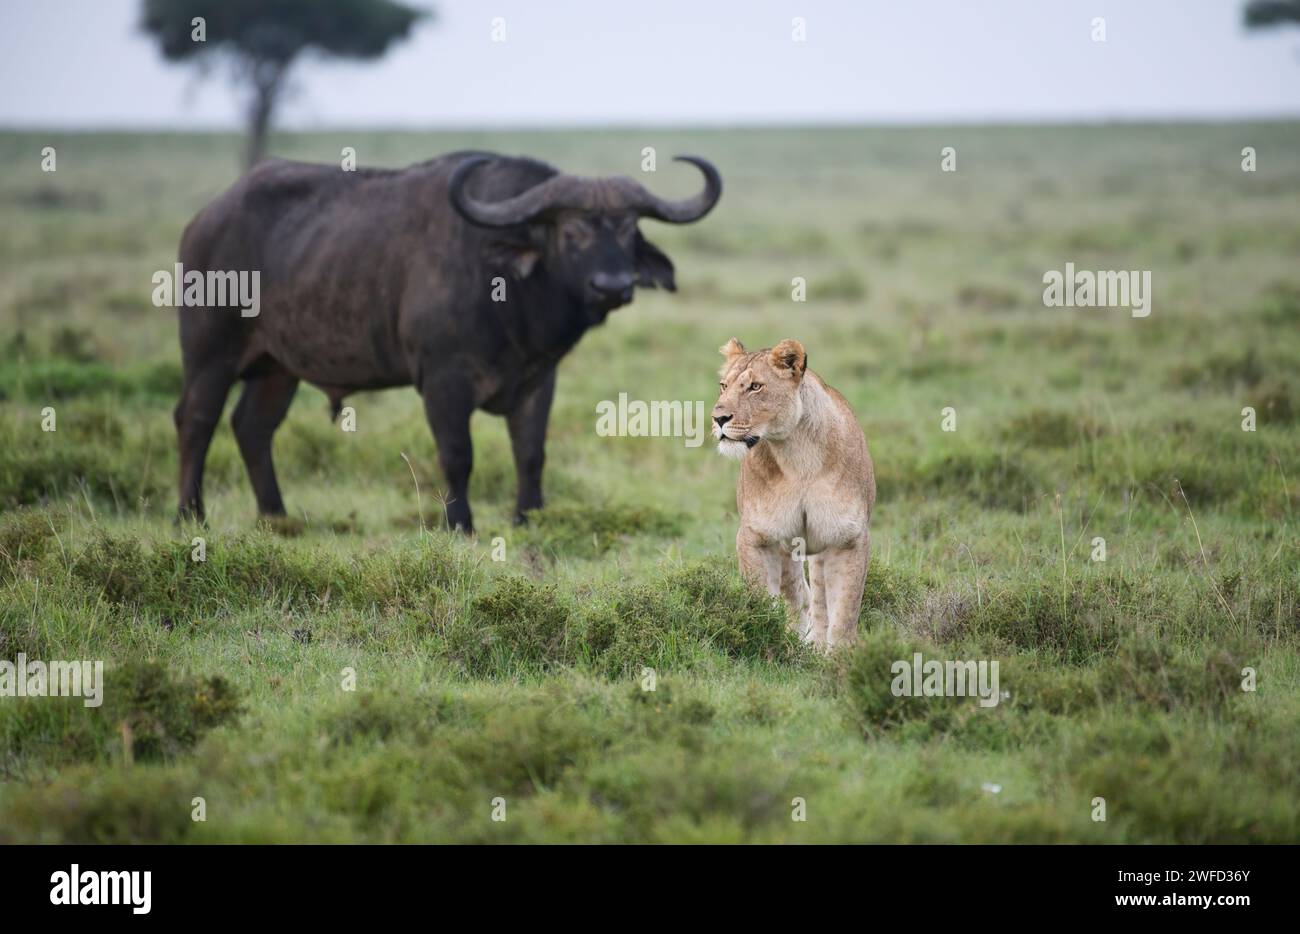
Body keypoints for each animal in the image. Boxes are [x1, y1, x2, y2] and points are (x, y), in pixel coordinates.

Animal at [174, 151, 721, 531]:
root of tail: (205, 219)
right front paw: (460, 523)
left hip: (277, 368)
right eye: (571, 231)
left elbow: (531, 453)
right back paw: (191, 515)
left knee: (252, 427)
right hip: (210, 352)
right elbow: (458, 454)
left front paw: (529, 518)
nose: (613, 286)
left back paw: (276, 516)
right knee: (195, 420)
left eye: (628, 228)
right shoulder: (443, 382)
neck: (509, 294)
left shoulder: (538, 380)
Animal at [712, 338, 875, 650]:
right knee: (798, 592)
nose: (718, 418)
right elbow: (764, 599)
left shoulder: (847, 538)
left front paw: (840, 656)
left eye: (755, 387)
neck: (798, 456)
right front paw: (776, 639)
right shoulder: (757, 537)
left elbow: (845, 610)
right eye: (723, 386)